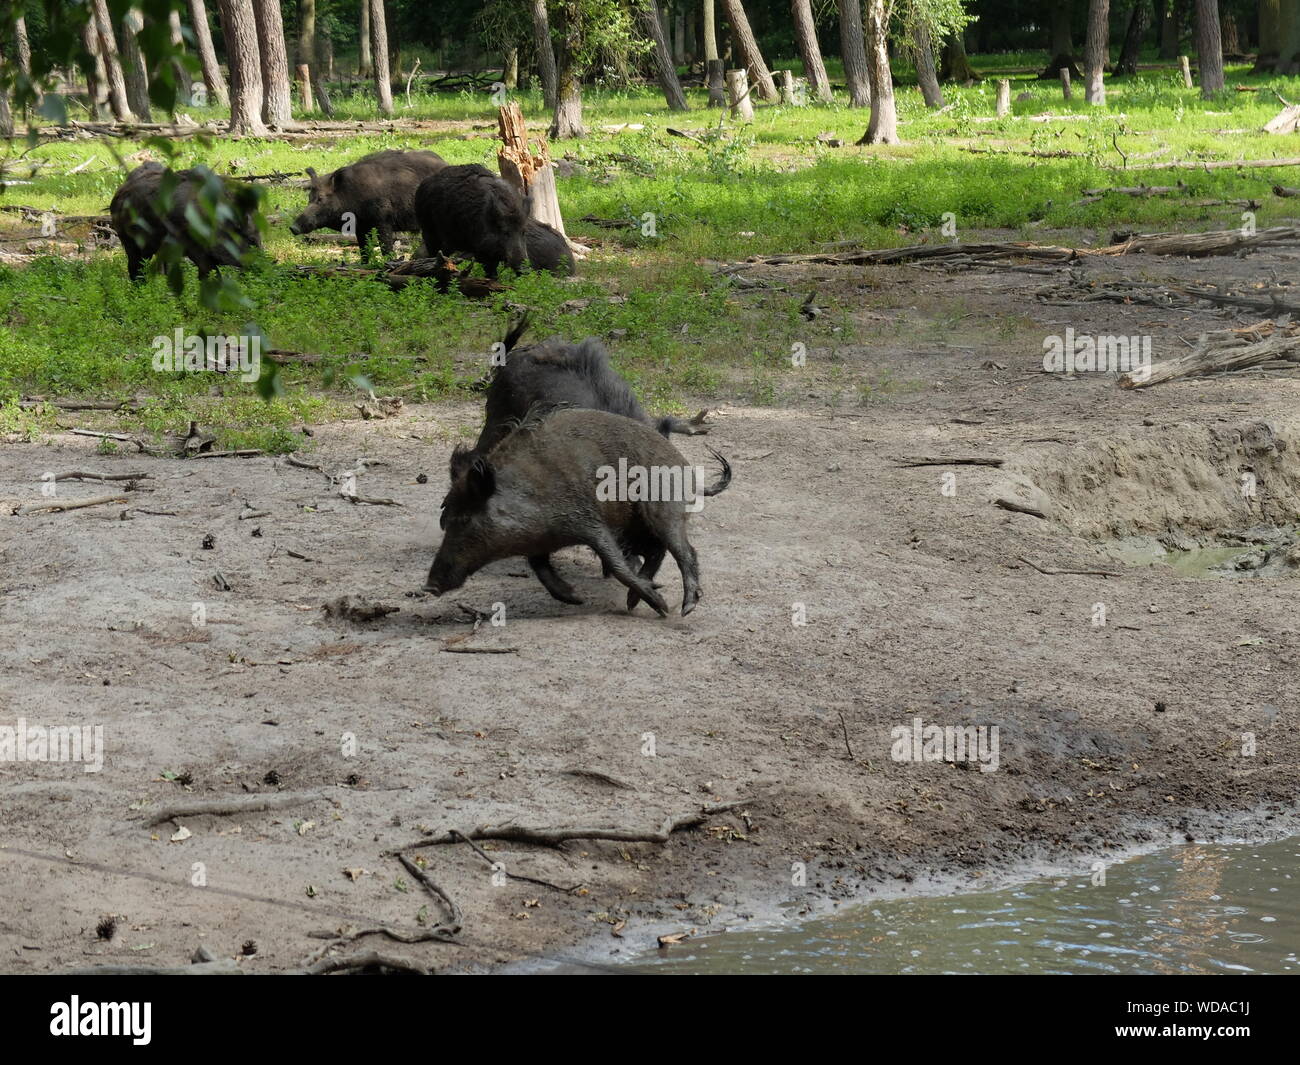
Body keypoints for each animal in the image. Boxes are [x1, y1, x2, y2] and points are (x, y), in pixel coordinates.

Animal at [289, 149, 446, 256]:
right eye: (309, 197)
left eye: (321, 199)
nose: (293, 227)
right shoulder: (361, 227)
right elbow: (364, 251)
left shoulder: (383, 220)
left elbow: (386, 248)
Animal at [425, 409, 731, 616]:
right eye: (446, 520)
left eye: (464, 519)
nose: (429, 587)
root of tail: (686, 467)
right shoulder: (540, 542)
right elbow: (540, 568)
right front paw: (575, 598)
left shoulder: (587, 519)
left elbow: (616, 564)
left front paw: (661, 605)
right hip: (637, 530)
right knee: (657, 551)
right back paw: (634, 602)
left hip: (663, 510)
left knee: (685, 551)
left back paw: (682, 608)